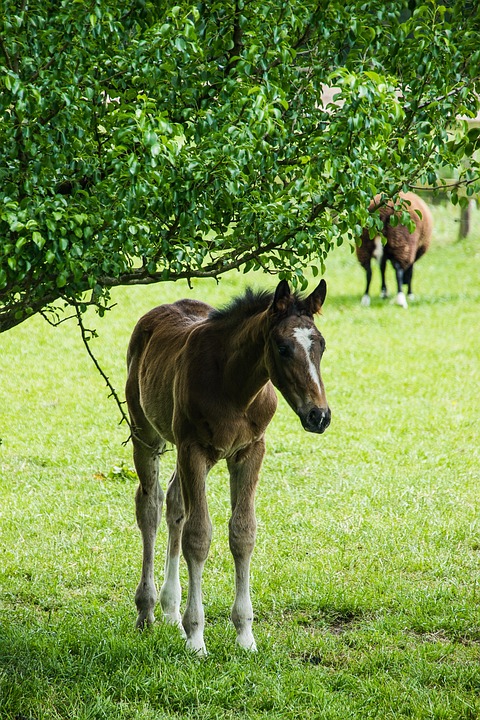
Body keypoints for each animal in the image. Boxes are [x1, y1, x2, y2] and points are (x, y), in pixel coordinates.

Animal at [125, 278, 331, 656]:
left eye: (320, 346)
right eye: (282, 347)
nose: (319, 416)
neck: (234, 388)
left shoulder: (249, 451)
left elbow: (242, 533)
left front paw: (245, 635)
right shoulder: (193, 449)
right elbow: (198, 536)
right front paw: (196, 638)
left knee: (174, 503)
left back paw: (170, 611)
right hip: (146, 433)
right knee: (150, 505)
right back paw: (147, 611)